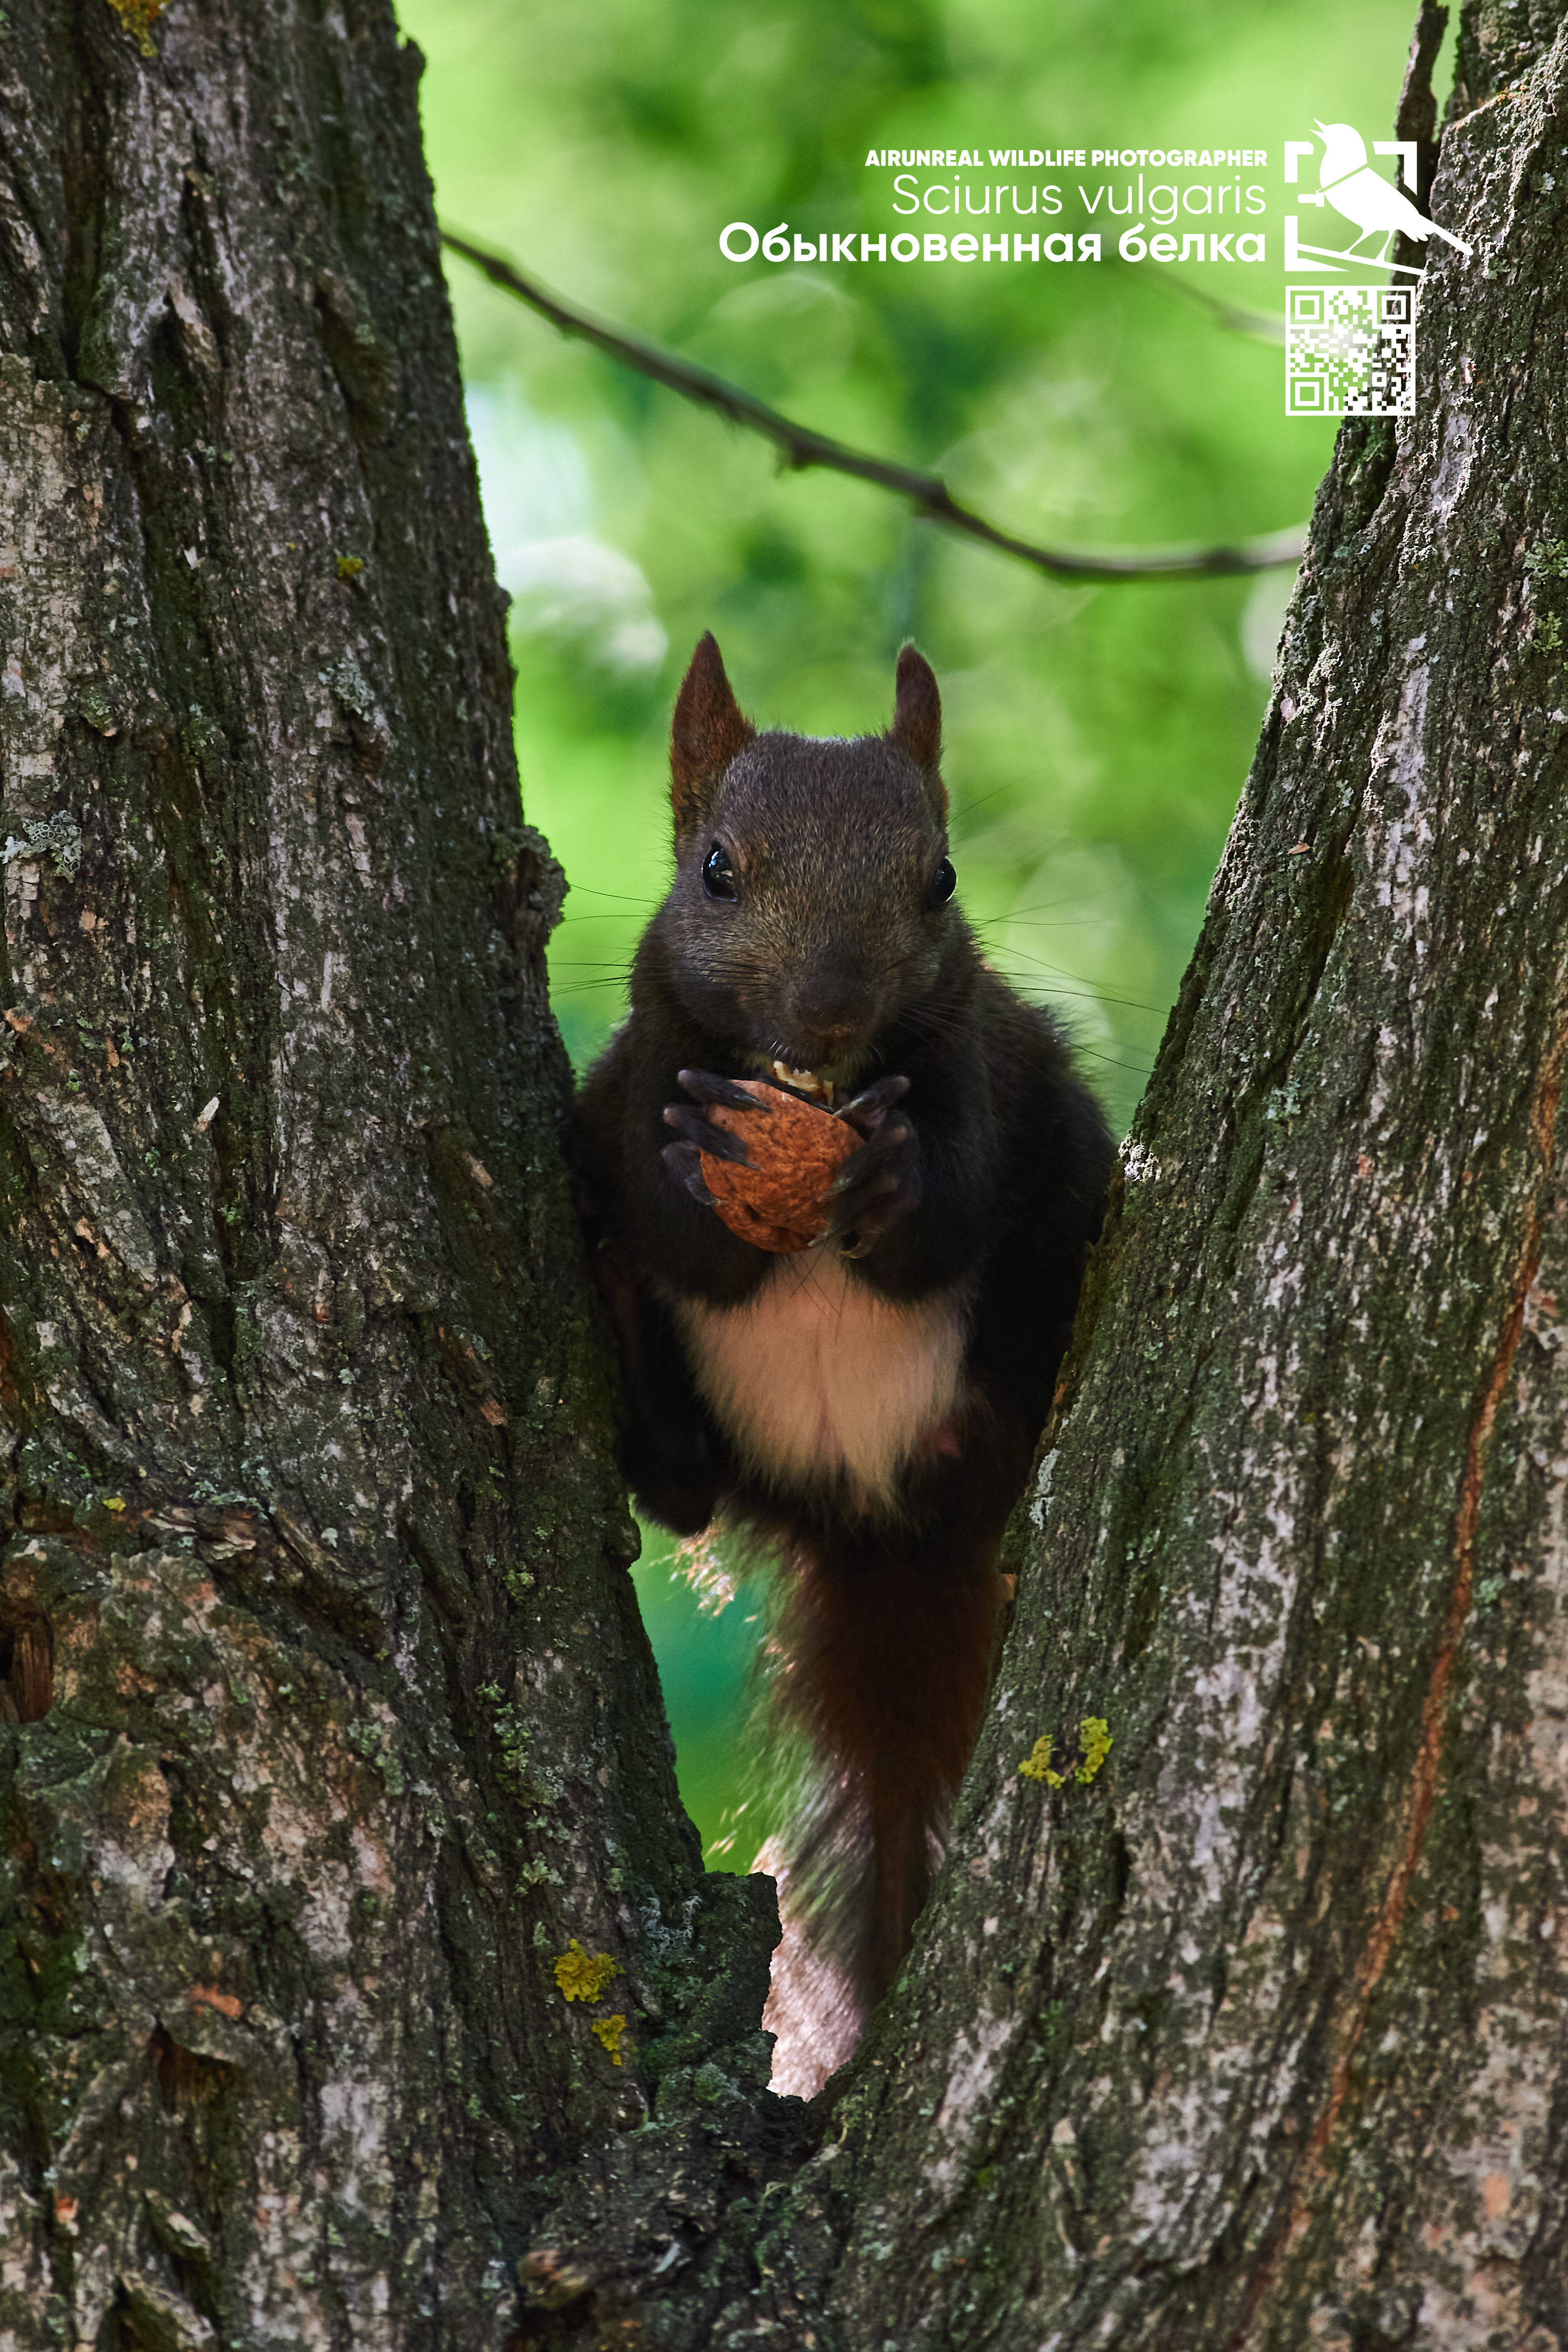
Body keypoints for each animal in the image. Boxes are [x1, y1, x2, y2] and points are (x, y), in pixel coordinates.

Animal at [580, 630, 1114, 2079]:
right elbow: (682, 1237)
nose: (828, 1012)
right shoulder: (635, 1078)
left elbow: (941, 1222)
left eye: (939, 879)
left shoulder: (978, 1070)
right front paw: (703, 1172)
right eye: (715, 866)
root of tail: (887, 1527)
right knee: (683, 1474)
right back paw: (649, 1413)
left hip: (1058, 1153)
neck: (806, 1088)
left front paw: (888, 1177)